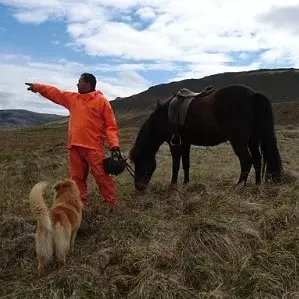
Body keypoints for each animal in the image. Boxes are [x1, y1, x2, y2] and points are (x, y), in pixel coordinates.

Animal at [129, 84, 284, 192]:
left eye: (139, 160)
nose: (138, 187)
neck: (165, 117)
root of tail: (253, 95)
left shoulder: (175, 145)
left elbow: (175, 165)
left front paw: (173, 186)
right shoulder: (185, 143)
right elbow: (186, 164)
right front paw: (186, 183)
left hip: (238, 141)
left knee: (246, 160)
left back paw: (239, 185)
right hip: (253, 139)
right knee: (257, 160)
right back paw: (256, 184)